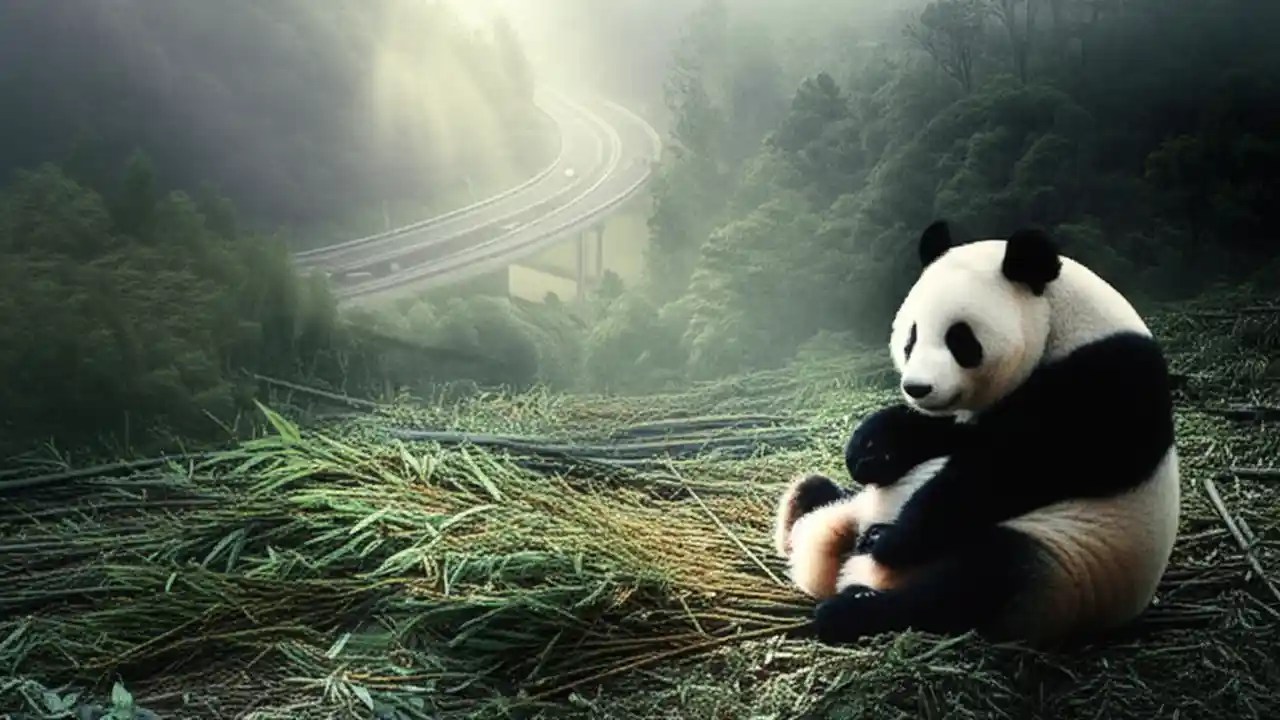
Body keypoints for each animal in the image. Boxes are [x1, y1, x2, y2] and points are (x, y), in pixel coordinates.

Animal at [774, 220, 1181, 648]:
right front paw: (870, 448)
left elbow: (1007, 468)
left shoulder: (1108, 385)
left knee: (972, 582)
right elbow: (948, 434)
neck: (1064, 324)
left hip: (1066, 564)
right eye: (911, 336)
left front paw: (891, 538)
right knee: (819, 492)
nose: (917, 388)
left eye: (960, 338)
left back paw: (853, 604)